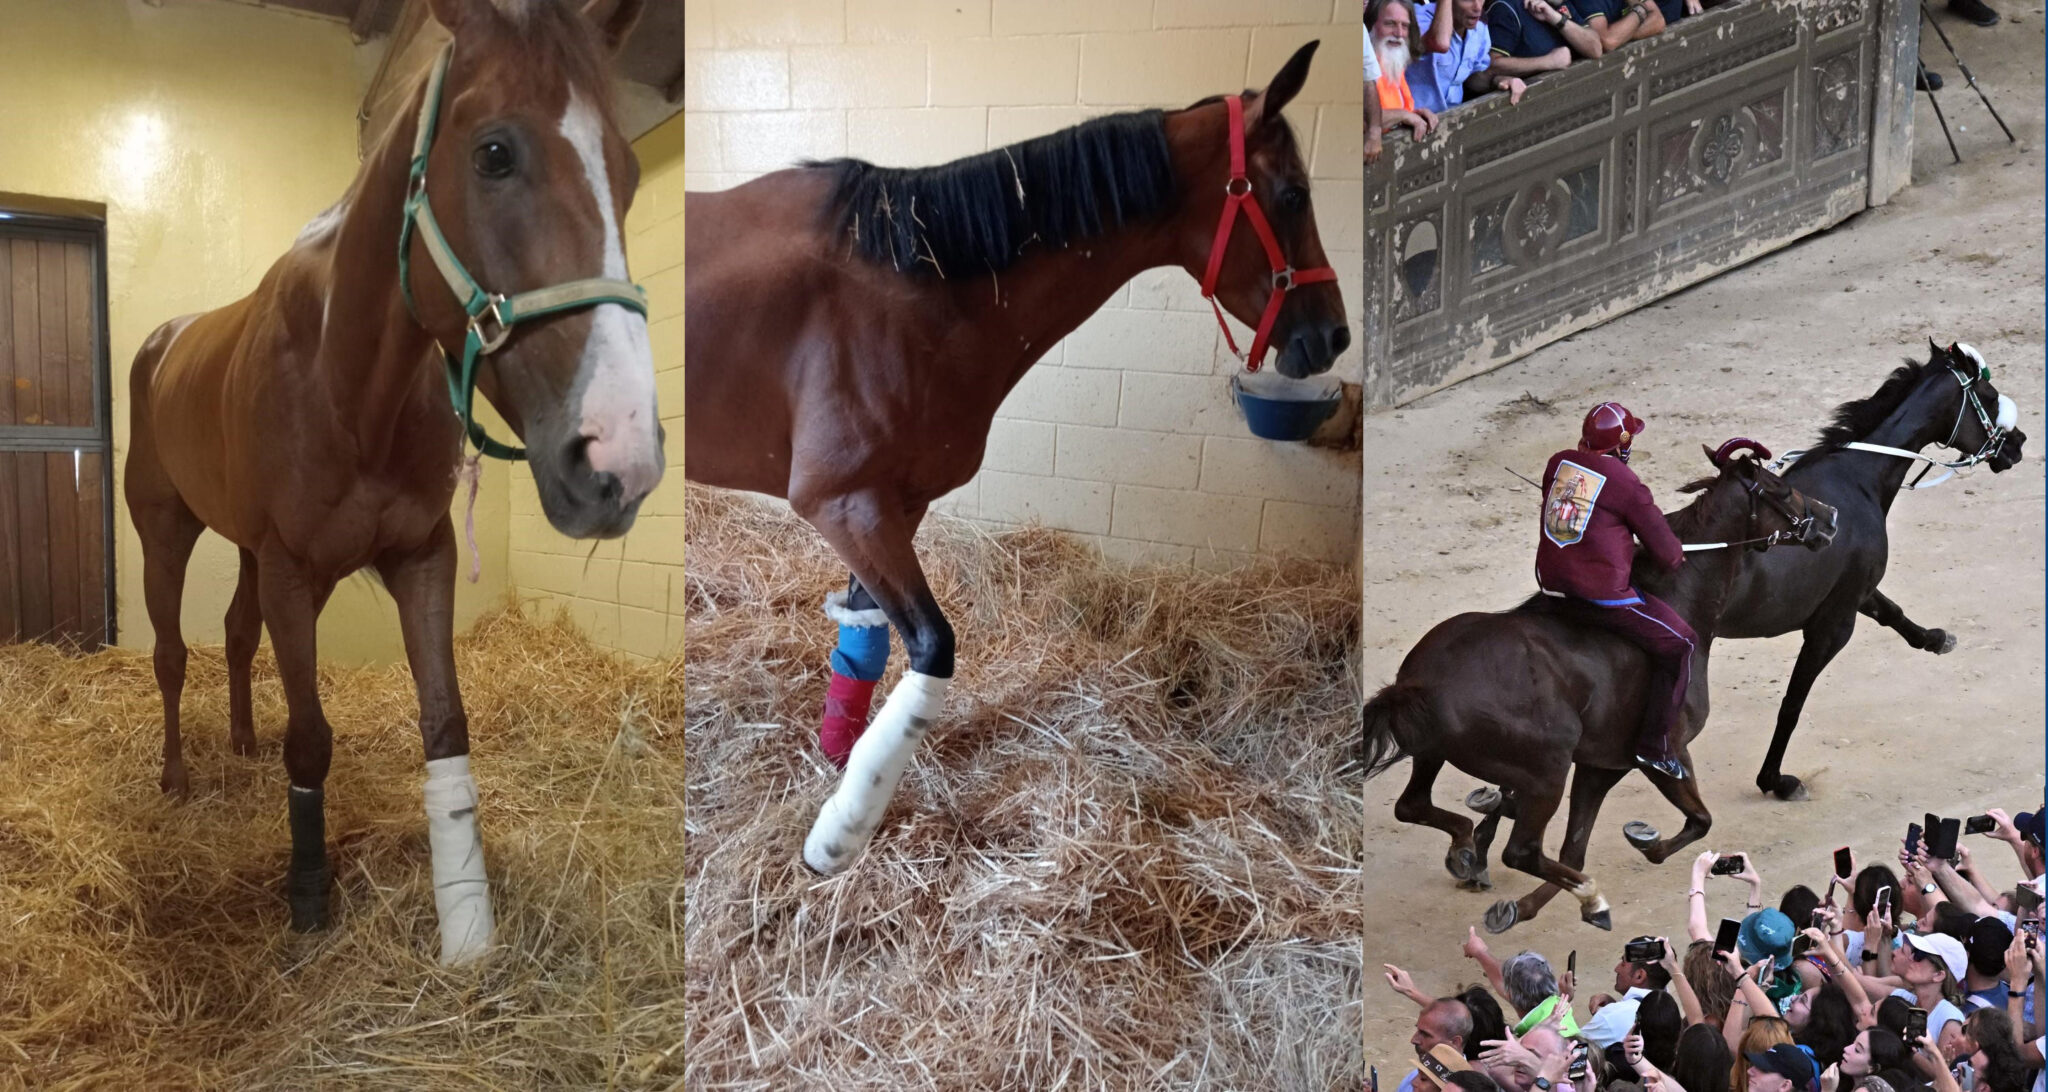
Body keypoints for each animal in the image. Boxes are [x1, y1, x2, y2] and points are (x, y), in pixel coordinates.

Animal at [122, 0, 660, 963]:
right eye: (494, 152)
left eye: (629, 170)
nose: (620, 456)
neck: (345, 379)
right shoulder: (293, 570)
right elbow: (310, 740)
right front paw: (308, 895)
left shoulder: (418, 556)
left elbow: (444, 723)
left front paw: (467, 918)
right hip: (167, 533)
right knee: (173, 653)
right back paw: (179, 776)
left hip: (248, 551)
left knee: (232, 638)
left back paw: (240, 742)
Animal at [683, 43, 1350, 874]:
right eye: (1291, 195)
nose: (1333, 336)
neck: (918, 288)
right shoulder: (844, 505)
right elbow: (933, 647)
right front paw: (842, 831)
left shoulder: (891, 506)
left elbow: (867, 637)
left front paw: (840, 757)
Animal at [1360, 442, 1837, 933]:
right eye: (1780, 486)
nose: (1829, 516)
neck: (1676, 596)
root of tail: (1420, 685)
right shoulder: (1661, 756)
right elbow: (1698, 820)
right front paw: (1641, 848)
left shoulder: (1598, 766)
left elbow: (1575, 847)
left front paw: (1525, 897)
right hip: (1547, 773)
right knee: (1521, 850)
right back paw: (1584, 893)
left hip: (1434, 754)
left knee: (1414, 807)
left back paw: (1469, 848)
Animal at [1718, 341, 2025, 800]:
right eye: (1988, 397)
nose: (2019, 442)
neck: (1854, 481)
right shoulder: (1832, 624)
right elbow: (1792, 704)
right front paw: (1775, 779)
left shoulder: (1855, 592)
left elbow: (1892, 612)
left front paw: (1936, 638)